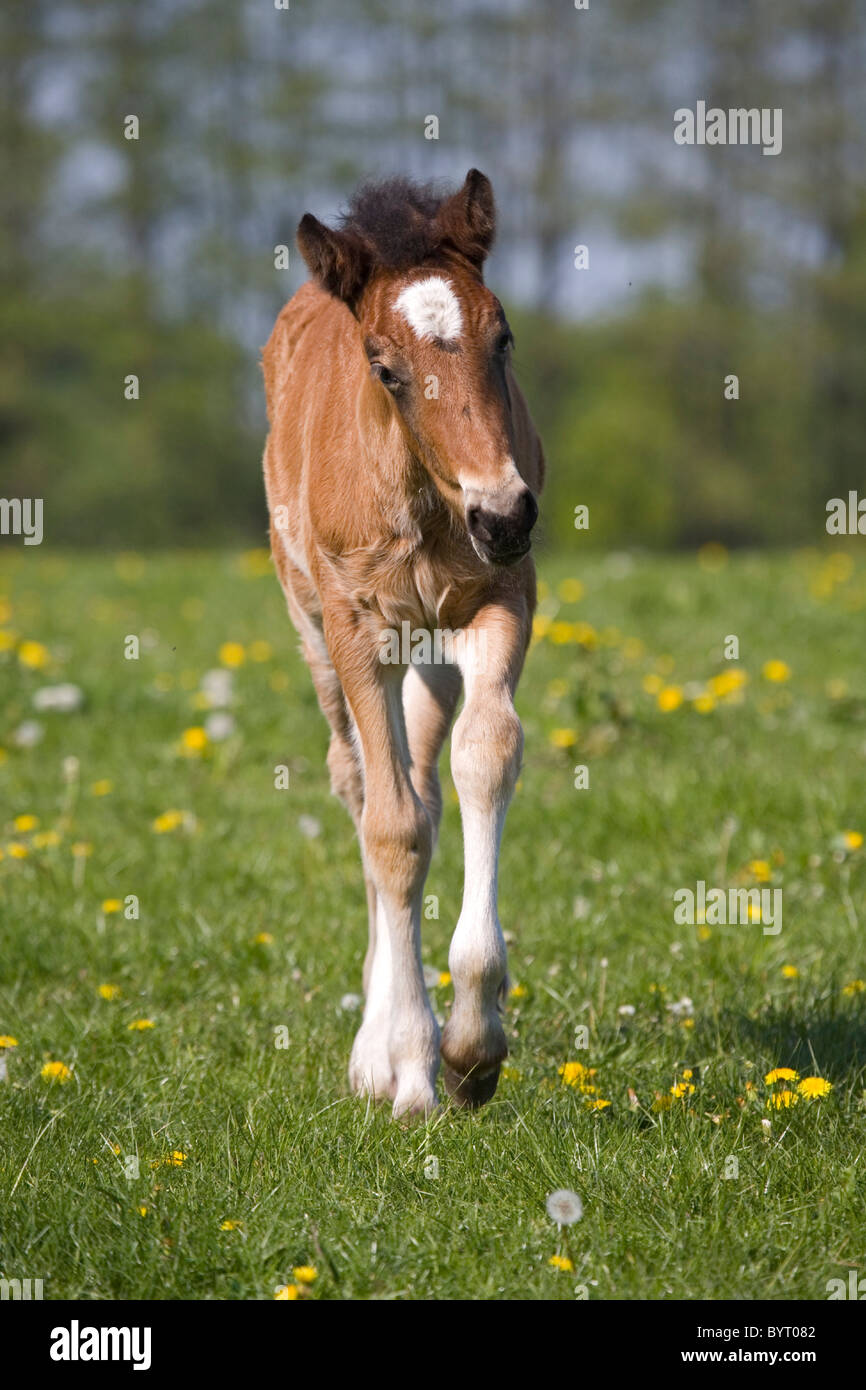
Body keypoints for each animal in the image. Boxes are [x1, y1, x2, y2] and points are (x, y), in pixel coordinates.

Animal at [262, 170, 544, 1116]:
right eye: (385, 370)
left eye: (503, 338)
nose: (505, 514)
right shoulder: (356, 627)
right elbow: (389, 831)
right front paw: (413, 1069)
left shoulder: (501, 600)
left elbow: (484, 759)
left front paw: (472, 1051)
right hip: (316, 627)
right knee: (363, 790)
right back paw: (379, 1053)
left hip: (432, 649)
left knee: (424, 780)